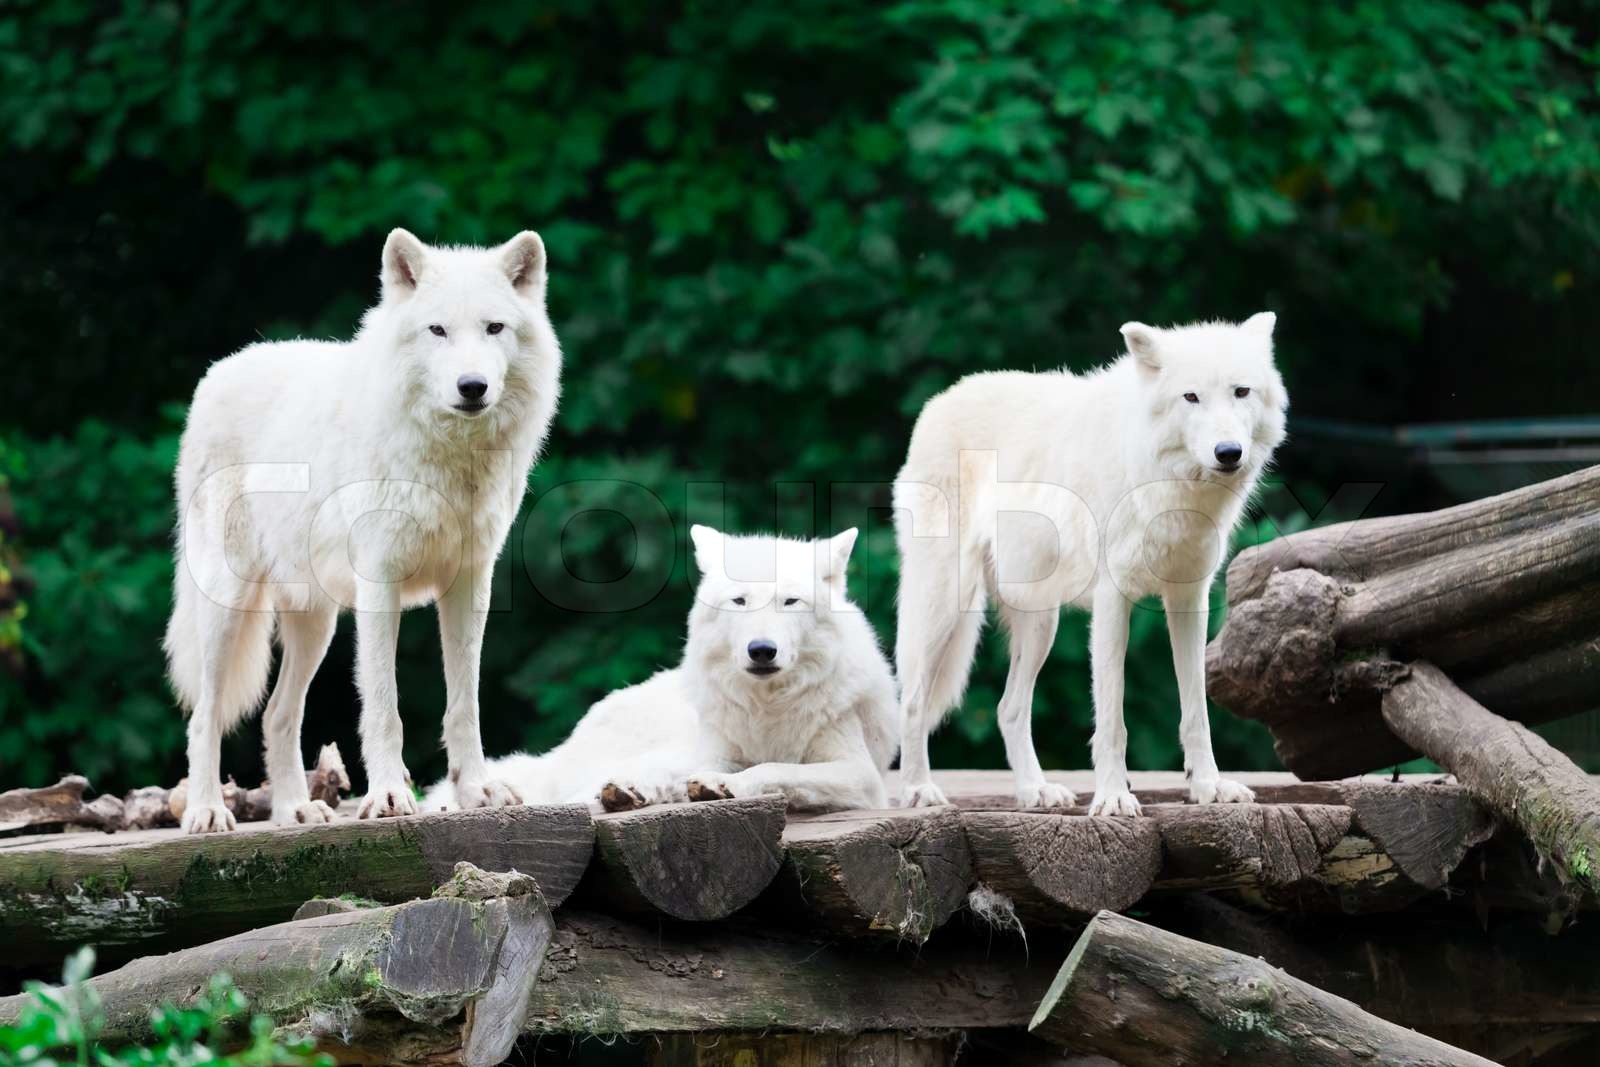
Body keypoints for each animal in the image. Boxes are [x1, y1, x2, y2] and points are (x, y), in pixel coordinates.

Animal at [164, 229, 562, 833]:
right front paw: (390, 797)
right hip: (227, 607)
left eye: (494, 328)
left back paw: (295, 811)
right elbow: (382, 704)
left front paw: (477, 791)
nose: (472, 386)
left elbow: (464, 703)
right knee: (204, 716)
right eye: (438, 330)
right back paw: (207, 812)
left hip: (316, 622)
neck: (452, 459)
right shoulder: (380, 581)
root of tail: (219, 371)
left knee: (278, 714)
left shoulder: (471, 584)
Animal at [425, 526, 898, 812]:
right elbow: (742, 768)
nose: (762, 650)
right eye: (740, 601)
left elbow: (776, 771)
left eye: (790, 601)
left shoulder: (860, 775)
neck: (768, 711)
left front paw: (724, 786)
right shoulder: (717, 751)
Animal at [893, 314, 1287, 815]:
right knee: (913, 700)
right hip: (946, 605)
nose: (1228, 452)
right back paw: (918, 790)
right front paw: (1114, 797)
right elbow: (1113, 721)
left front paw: (1208, 787)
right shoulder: (1112, 601)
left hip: (1041, 623)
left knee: (1008, 708)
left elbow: (1196, 712)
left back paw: (1035, 792)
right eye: (1191, 397)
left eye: (1241, 392)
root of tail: (941, 400)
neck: (1166, 481)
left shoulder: (1189, 598)